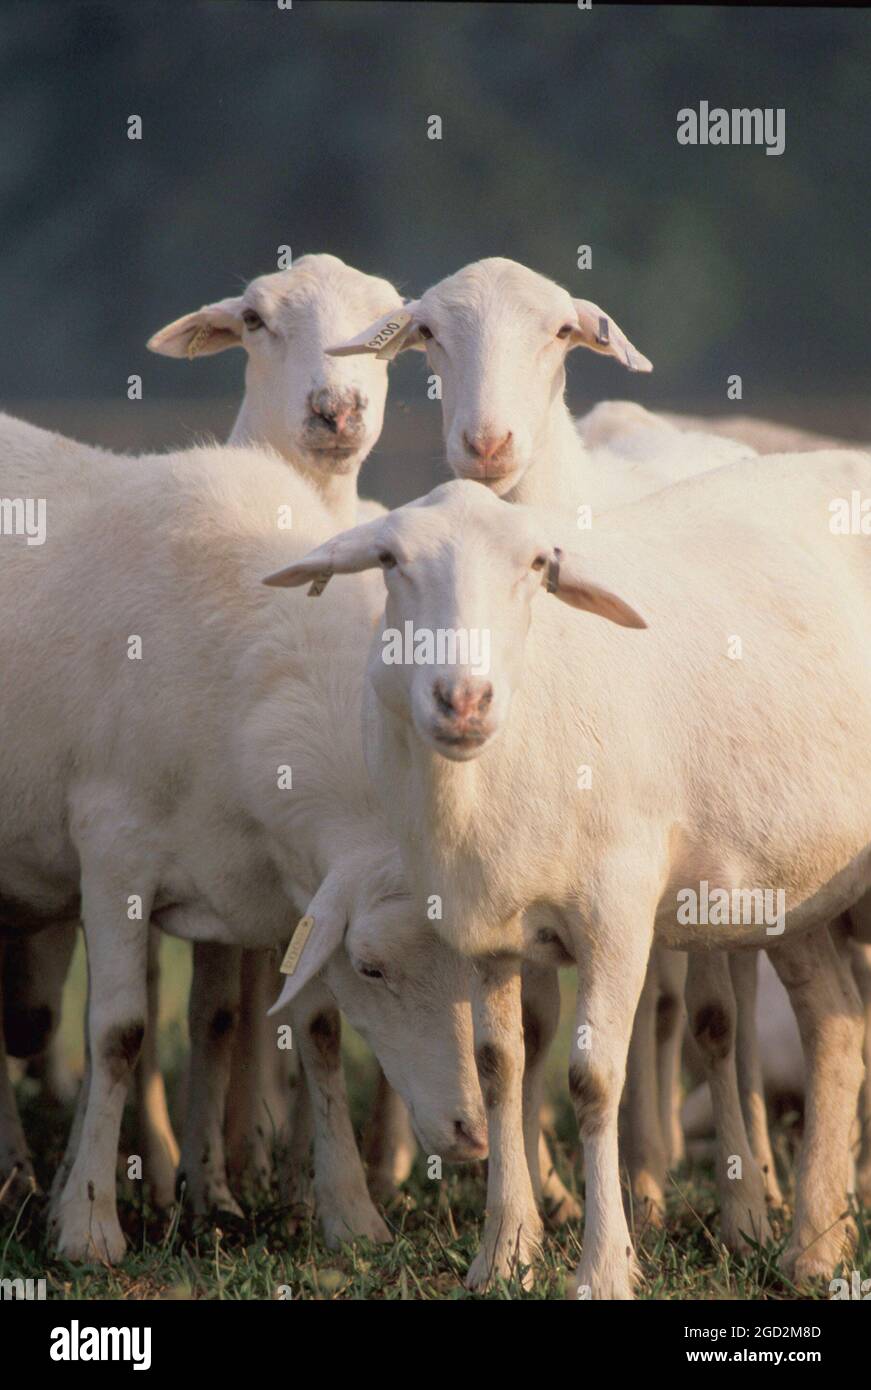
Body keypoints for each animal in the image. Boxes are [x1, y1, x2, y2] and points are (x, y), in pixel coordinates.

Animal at [0, 434, 486, 1261]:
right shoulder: (113, 854)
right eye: (372, 967)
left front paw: (349, 1211)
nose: (469, 1134)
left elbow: (316, 1032)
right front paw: (91, 1226)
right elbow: (118, 1034)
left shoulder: (287, 890)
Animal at [269, 447, 871, 1296]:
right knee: (836, 1024)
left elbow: (592, 1080)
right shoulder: (480, 921)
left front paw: (603, 1267)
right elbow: (498, 1066)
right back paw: (814, 1248)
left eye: (536, 567)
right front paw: (502, 1255)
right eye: (389, 561)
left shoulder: (616, 908)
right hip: (792, 880)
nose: (463, 699)